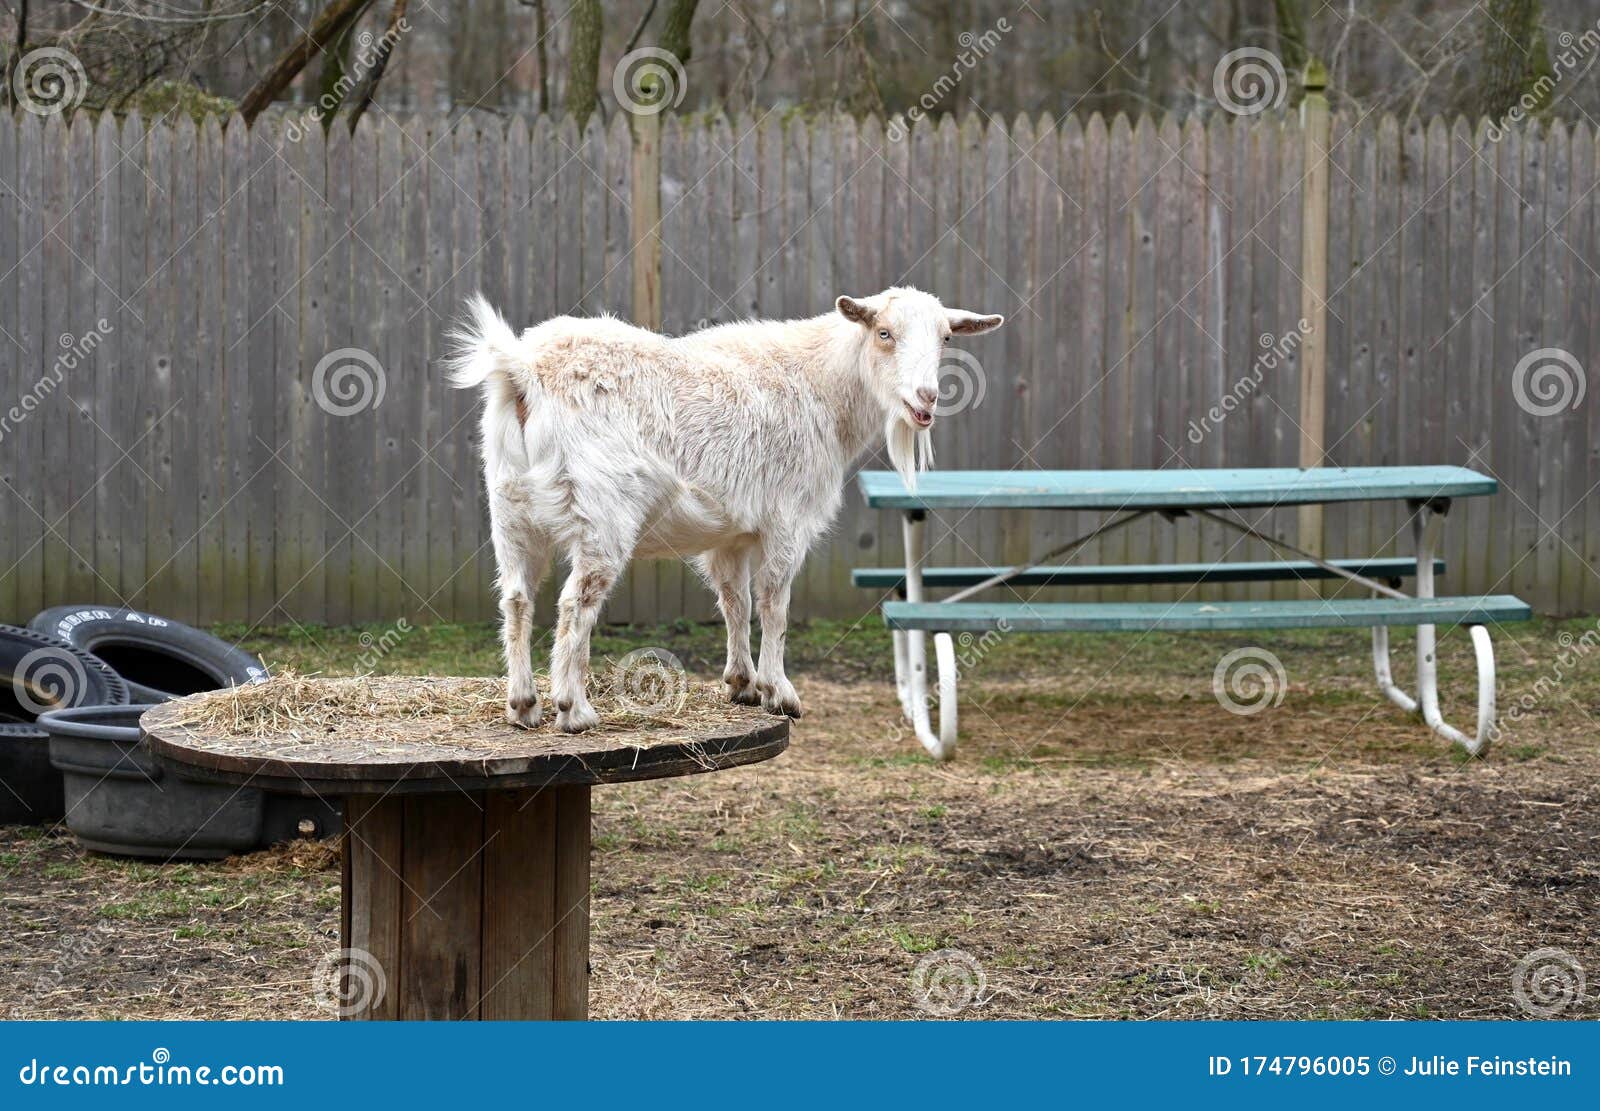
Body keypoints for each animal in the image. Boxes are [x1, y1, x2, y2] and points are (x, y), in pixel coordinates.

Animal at [447, 288, 1004, 733]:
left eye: (946, 339)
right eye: (885, 333)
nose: (925, 398)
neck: (822, 386)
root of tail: (523, 373)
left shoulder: (731, 534)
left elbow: (735, 600)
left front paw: (742, 683)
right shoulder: (786, 520)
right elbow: (775, 604)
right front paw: (780, 692)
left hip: (511, 511)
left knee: (517, 599)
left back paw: (523, 704)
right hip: (602, 515)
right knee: (573, 603)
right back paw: (574, 710)